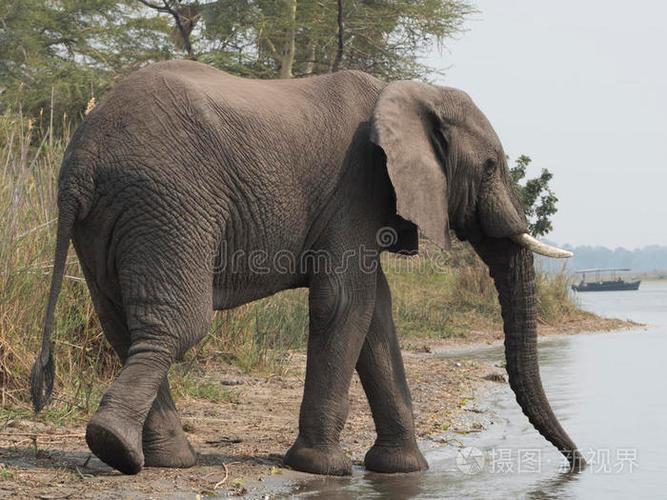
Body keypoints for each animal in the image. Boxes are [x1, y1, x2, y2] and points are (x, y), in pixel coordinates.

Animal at [31, 60, 584, 476]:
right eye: (490, 167)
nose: (577, 465)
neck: (409, 94)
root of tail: (80, 158)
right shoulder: (356, 186)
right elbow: (344, 302)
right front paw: (324, 469)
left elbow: (375, 312)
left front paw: (402, 470)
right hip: (168, 204)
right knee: (178, 326)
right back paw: (118, 448)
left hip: (113, 218)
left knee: (120, 322)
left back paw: (162, 459)